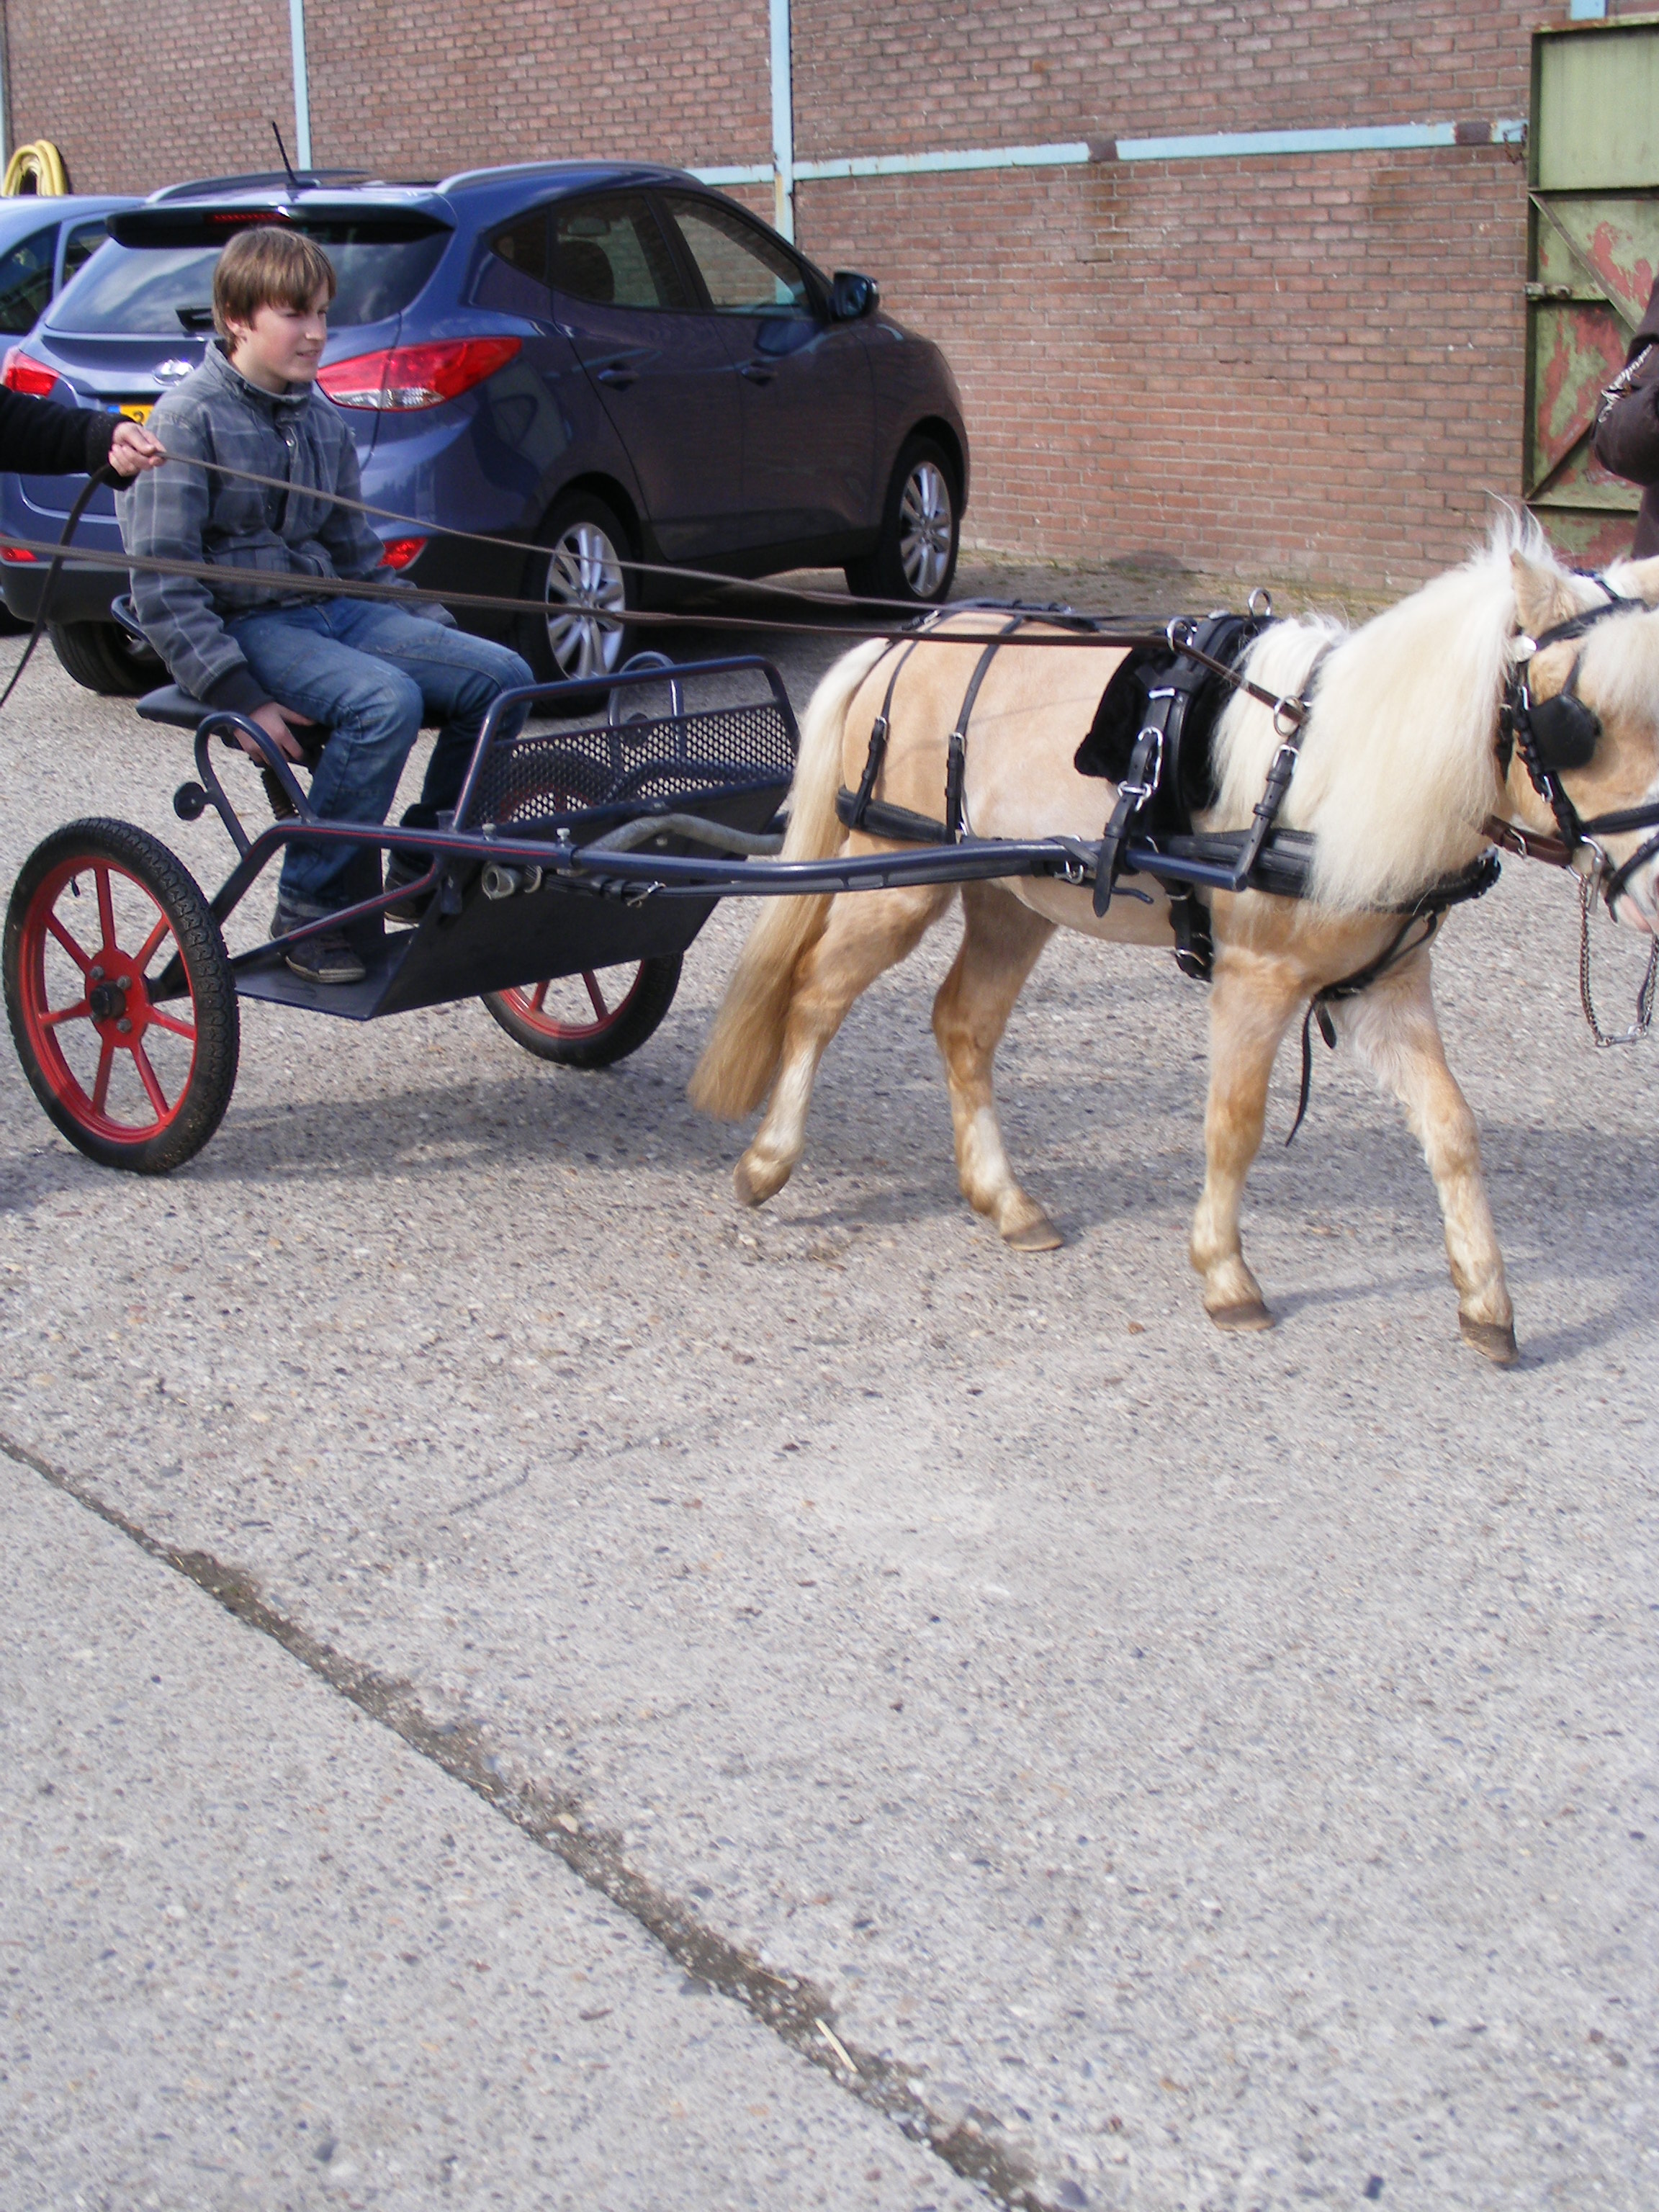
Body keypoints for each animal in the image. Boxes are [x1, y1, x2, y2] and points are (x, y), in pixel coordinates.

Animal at [689, 521, 1659, 1363]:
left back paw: (1005, 1200)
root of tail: (906, 641)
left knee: (963, 1023)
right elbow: (1236, 1124)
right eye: (1578, 720)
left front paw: (1485, 1300)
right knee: (816, 996)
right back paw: (769, 1160)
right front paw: (1226, 1275)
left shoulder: (1388, 984)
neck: (1331, 773)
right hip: (896, 877)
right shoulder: (1256, 978)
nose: (1656, 884)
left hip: (1017, 898)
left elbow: (1452, 1128)